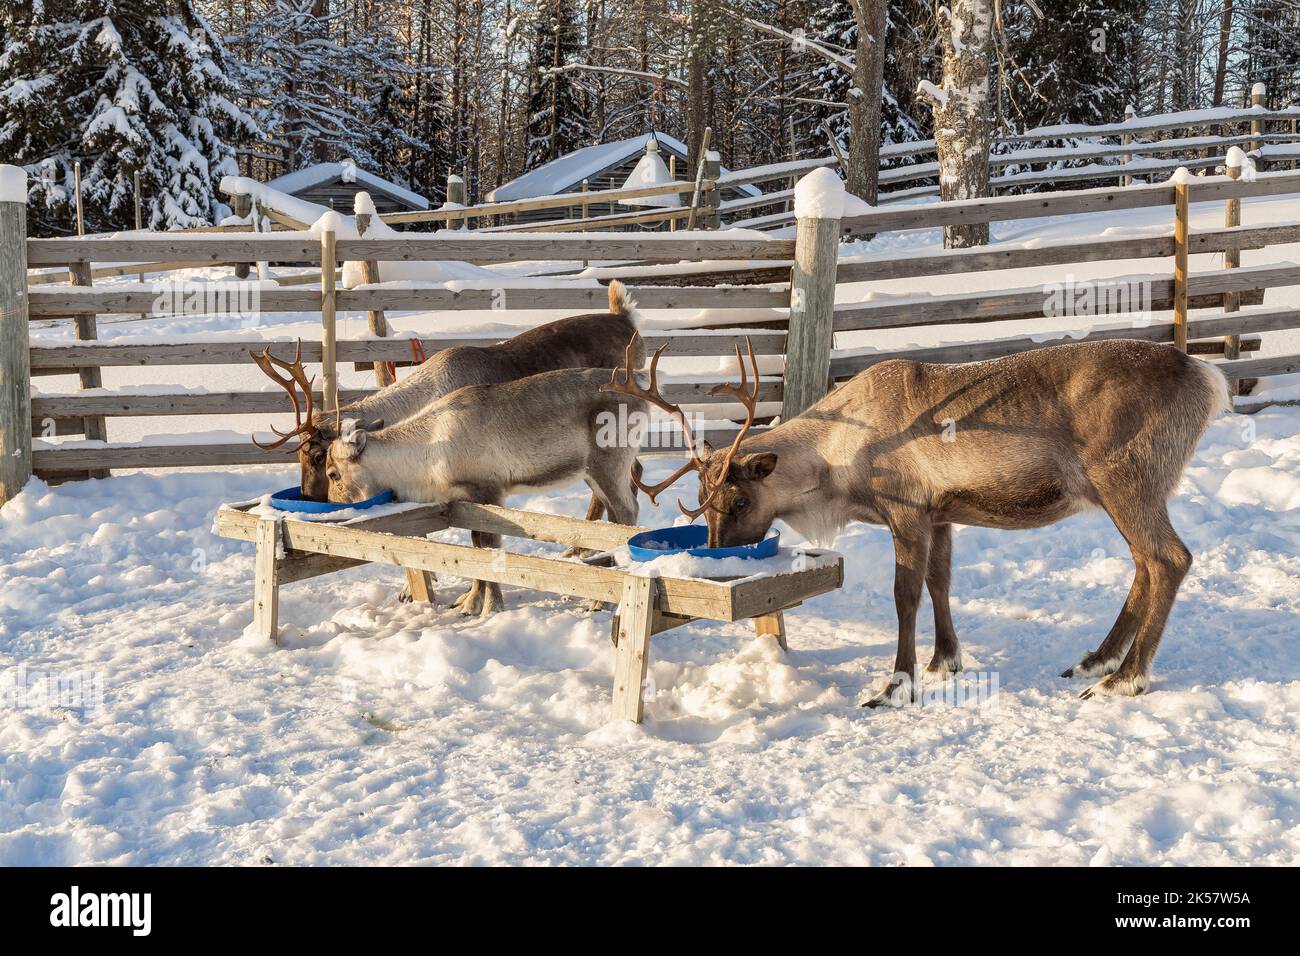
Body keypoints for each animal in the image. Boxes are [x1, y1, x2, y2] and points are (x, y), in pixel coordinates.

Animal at [325, 361, 654, 616]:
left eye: (332, 473)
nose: (329, 508)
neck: (427, 452)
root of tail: (642, 392)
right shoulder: (466, 500)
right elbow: (476, 545)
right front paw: (470, 603)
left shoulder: (490, 491)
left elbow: (489, 545)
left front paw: (490, 606)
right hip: (592, 473)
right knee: (613, 517)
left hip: (609, 462)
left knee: (627, 510)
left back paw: (601, 601)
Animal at [602, 337, 1231, 705]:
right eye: (700, 502)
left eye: (736, 501)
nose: (716, 555)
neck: (837, 462)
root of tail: (1209, 377)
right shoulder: (942, 514)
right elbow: (939, 583)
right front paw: (944, 661)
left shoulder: (905, 510)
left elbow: (905, 594)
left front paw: (895, 683)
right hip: (1123, 490)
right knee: (1145, 564)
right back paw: (1095, 660)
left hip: (1127, 478)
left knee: (1170, 559)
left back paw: (1126, 678)